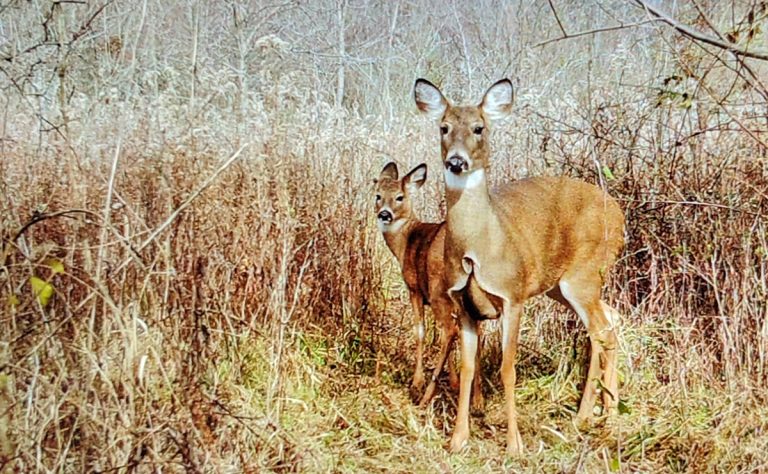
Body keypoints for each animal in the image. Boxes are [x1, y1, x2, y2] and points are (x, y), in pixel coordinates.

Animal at [373, 162, 485, 410]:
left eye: (399, 197)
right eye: (377, 195)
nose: (384, 214)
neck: (404, 242)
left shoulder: (414, 288)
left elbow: (421, 332)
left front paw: (417, 381)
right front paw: (454, 381)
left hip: (438, 291)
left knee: (451, 331)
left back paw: (425, 395)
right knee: (472, 334)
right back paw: (478, 400)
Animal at [413, 78, 625, 456]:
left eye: (479, 128)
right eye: (444, 127)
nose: (456, 161)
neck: (479, 246)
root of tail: (620, 215)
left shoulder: (513, 296)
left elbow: (507, 368)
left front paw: (514, 444)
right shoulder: (463, 304)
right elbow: (468, 366)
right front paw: (458, 439)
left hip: (586, 273)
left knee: (602, 330)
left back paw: (596, 417)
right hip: (561, 285)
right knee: (609, 320)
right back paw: (597, 413)